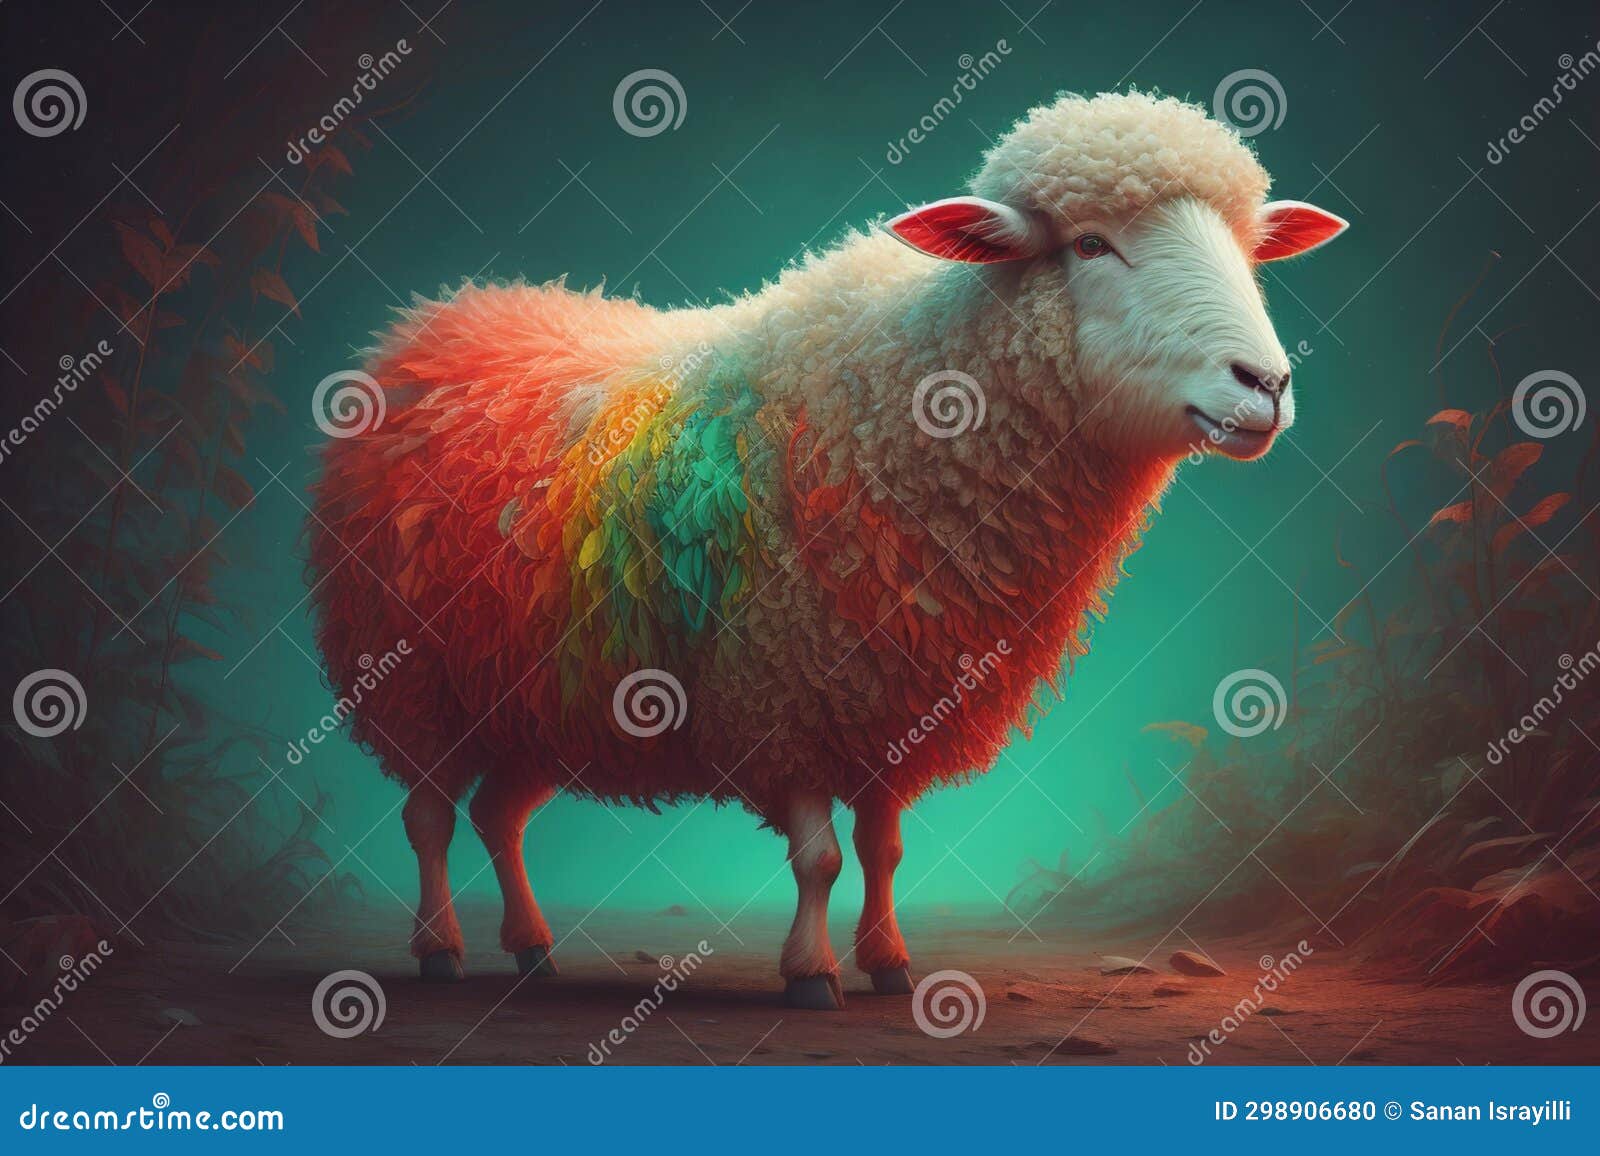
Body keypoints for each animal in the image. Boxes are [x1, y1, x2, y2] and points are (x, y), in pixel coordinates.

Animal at [308, 89, 1346, 1008]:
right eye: (1091, 244)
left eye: (1249, 248)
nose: (1266, 382)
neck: (904, 394)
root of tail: (434, 319)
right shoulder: (786, 688)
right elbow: (818, 856)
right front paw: (810, 974)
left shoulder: (896, 689)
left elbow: (883, 849)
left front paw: (888, 964)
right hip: (413, 672)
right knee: (429, 816)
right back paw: (440, 950)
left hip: (535, 687)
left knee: (498, 813)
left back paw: (530, 948)